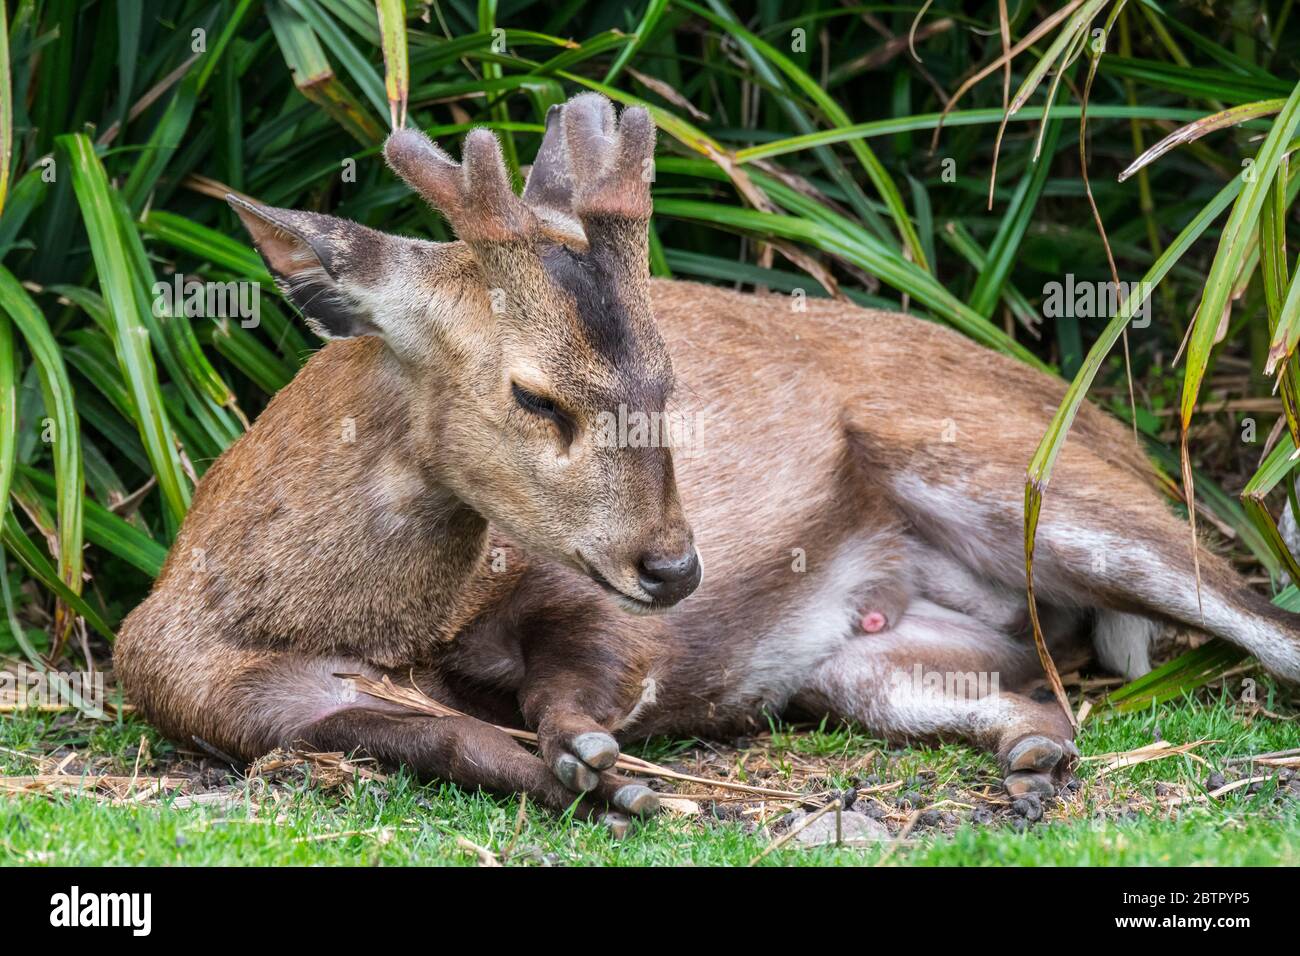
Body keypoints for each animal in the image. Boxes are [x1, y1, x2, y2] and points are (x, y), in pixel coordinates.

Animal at [115, 93, 1300, 823]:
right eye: (533, 394)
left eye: (669, 379)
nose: (678, 566)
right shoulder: (235, 700)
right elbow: (454, 744)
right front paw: (597, 781)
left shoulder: (584, 601)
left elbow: (581, 677)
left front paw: (605, 764)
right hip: (865, 667)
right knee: (1033, 699)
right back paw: (1032, 764)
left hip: (1038, 484)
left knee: (1262, 619)